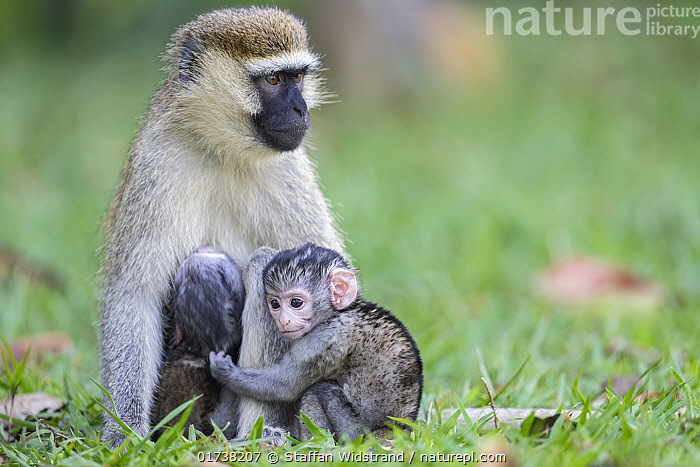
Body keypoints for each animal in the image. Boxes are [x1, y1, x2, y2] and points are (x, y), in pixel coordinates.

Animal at [209, 244, 423, 442]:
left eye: (296, 303)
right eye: (275, 304)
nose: (283, 321)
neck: (338, 313)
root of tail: (393, 430)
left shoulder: (323, 339)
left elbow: (285, 386)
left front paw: (224, 370)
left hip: (357, 432)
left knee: (318, 391)